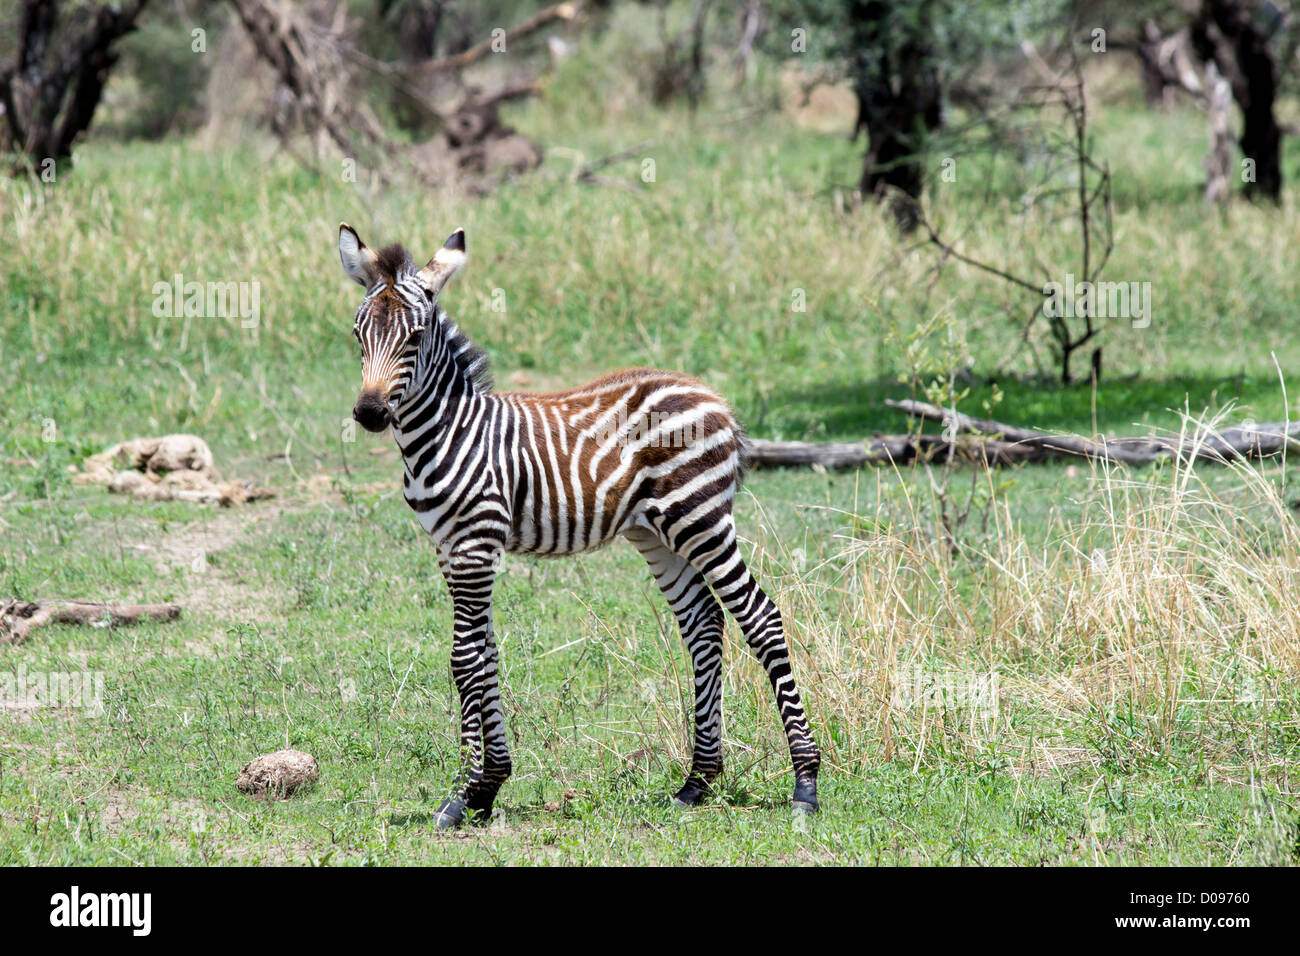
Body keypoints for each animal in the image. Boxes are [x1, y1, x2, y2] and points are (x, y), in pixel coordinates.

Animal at [338, 223, 820, 828]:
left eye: (417, 336)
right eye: (358, 333)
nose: (369, 414)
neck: (449, 433)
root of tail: (716, 399)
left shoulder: (475, 543)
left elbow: (465, 660)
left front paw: (463, 795)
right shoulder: (451, 548)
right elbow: (483, 656)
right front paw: (487, 786)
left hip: (701, 517)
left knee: (761, 617)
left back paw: (806, 782)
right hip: (658, 533)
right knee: (705, 623)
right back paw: (697, 782)